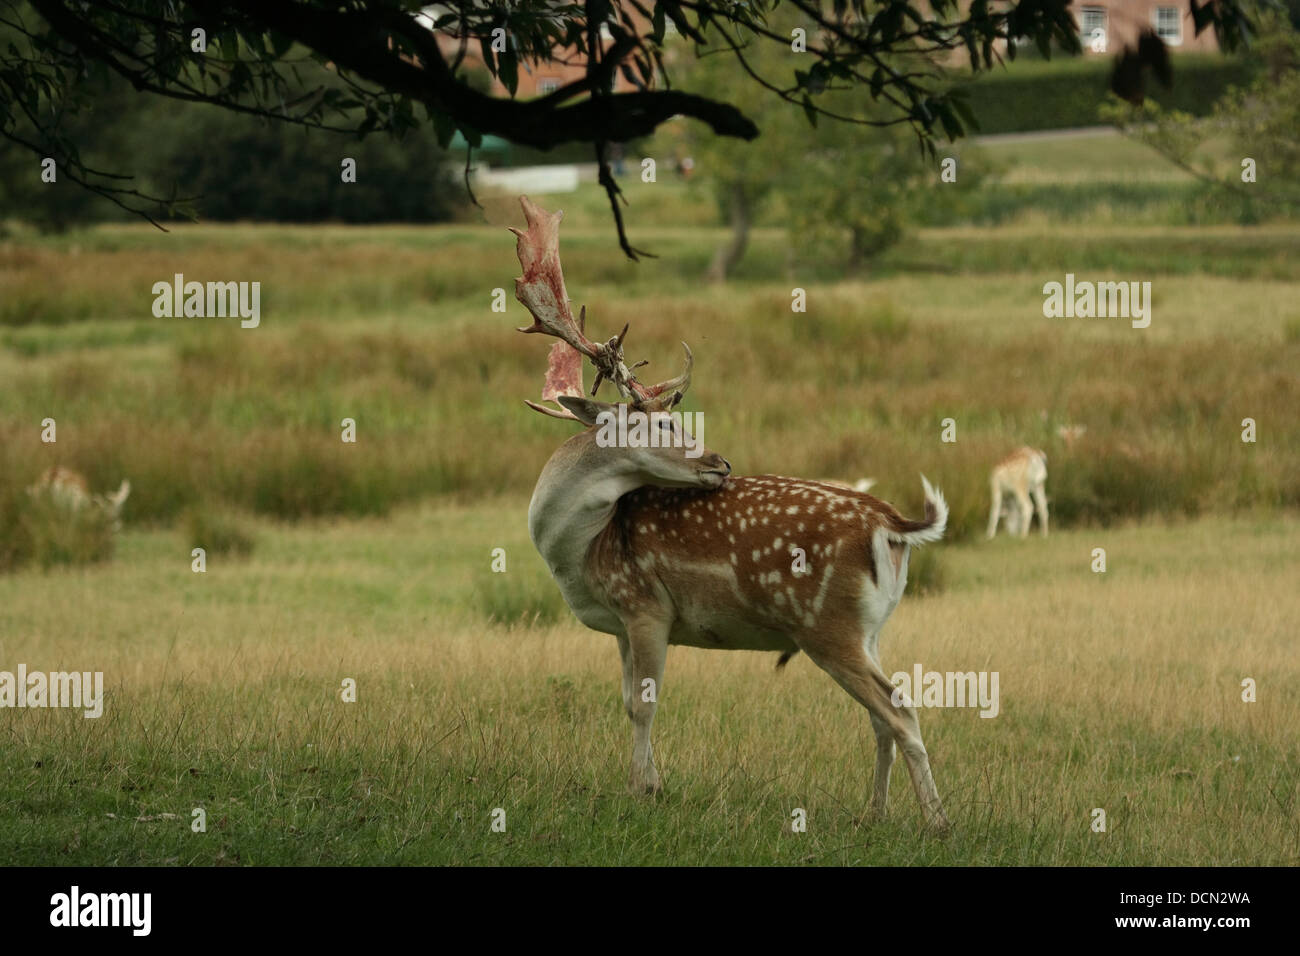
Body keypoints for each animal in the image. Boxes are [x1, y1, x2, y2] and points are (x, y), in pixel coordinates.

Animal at [510, 197, 951, 831]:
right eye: (656, 424)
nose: (721, 461)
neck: (581, 551)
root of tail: (891, 524)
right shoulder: (621, 621)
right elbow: (626, 702)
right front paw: (649, 782)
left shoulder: (646, 605)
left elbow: (643, 706)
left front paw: (643, 791)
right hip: (871, 627)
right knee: (881, 715)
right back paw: (873, 815)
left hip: (828, 625)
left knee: (899, 710)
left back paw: (937, 822)